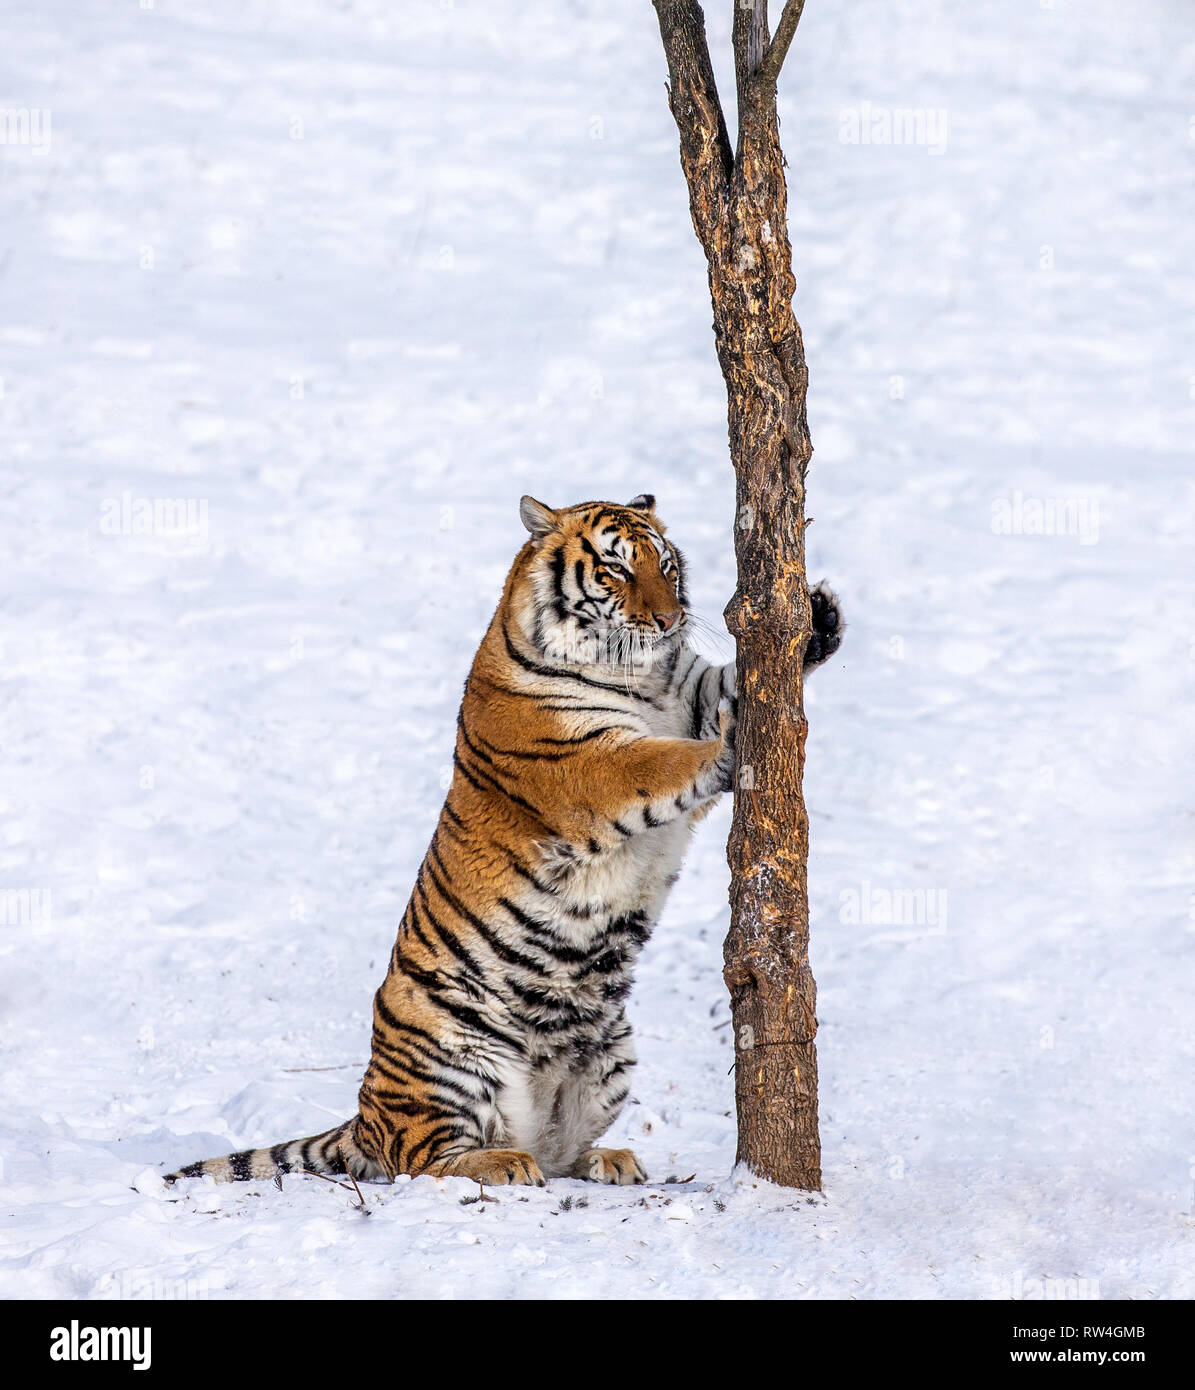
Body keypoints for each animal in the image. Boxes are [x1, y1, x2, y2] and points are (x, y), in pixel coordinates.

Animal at [165, 494, 842, 1189]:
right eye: (616, 569)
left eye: (667, 566)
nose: (668, 619)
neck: (642, 675)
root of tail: (366, 1115)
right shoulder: (588, 765)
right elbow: (664, 761)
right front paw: (733, 743)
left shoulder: (690, 694)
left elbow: (724, 684)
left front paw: (820, 618)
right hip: (449, 1058)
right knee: (422, 1164)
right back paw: (504, 1164)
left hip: (612, 1054)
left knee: (558, 1151)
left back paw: (606, 1160)